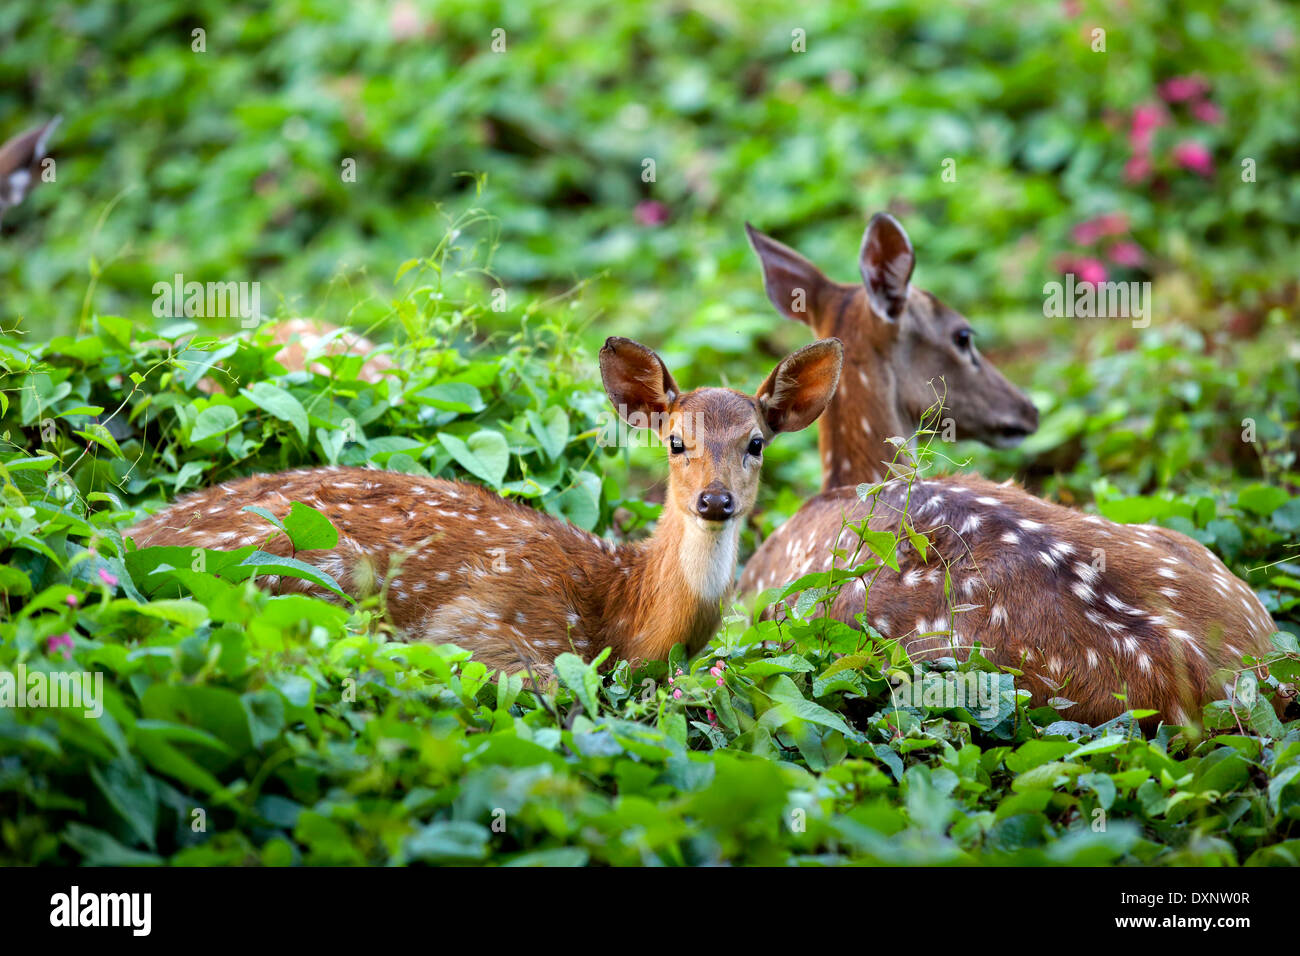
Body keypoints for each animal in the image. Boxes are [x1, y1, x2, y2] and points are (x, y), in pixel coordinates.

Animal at [127, 335, 843, 677]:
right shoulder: (489, 626)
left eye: (755, 443)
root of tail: (129, 541)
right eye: (675, 441)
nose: (714, 500)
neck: (622, 614)